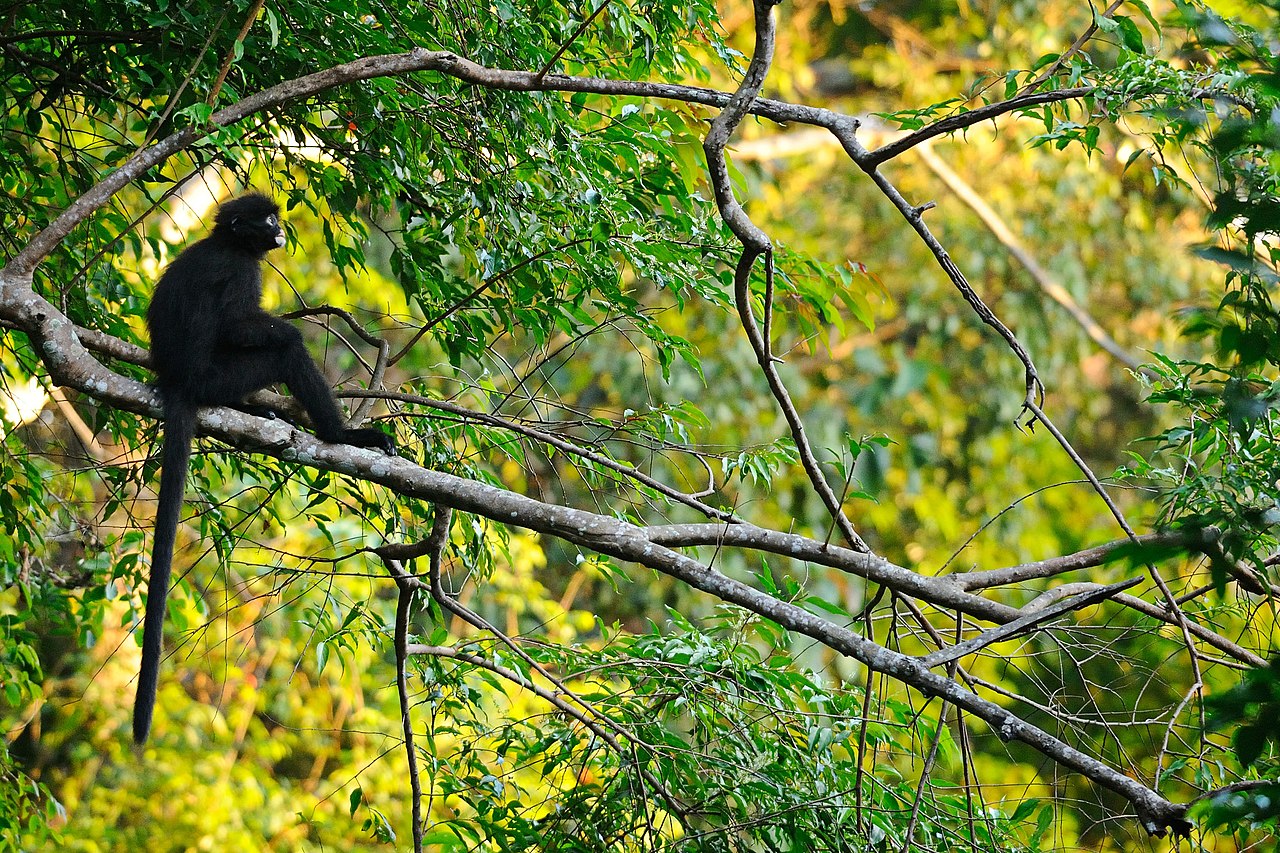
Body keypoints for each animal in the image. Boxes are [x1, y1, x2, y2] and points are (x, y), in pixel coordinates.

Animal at [136, 193, 395, 744]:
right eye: (268, 218)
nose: (280, 230)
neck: (228, 244)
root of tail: (180, 382)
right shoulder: (238, 271)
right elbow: (240, 325)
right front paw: (293, 326)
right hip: (219, 377)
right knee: (282, 352)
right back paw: (339, 434)